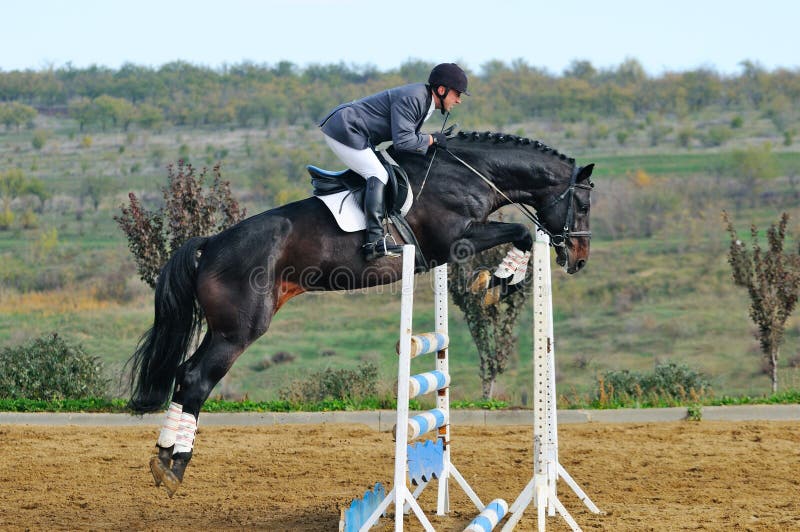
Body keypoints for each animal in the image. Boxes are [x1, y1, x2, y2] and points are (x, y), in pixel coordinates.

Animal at [130, 130, 595, 496]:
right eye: (585, 205)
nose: (578, 260)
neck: (466, 174)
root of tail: (210, 245)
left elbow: (519, 234)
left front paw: (498, 283)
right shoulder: (454, 241)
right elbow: (520, 232)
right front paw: (497, 283)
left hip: (223, 327)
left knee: (186, 374)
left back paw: (164, 455)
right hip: (238, 331)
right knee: (196, 379)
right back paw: (174, 465)